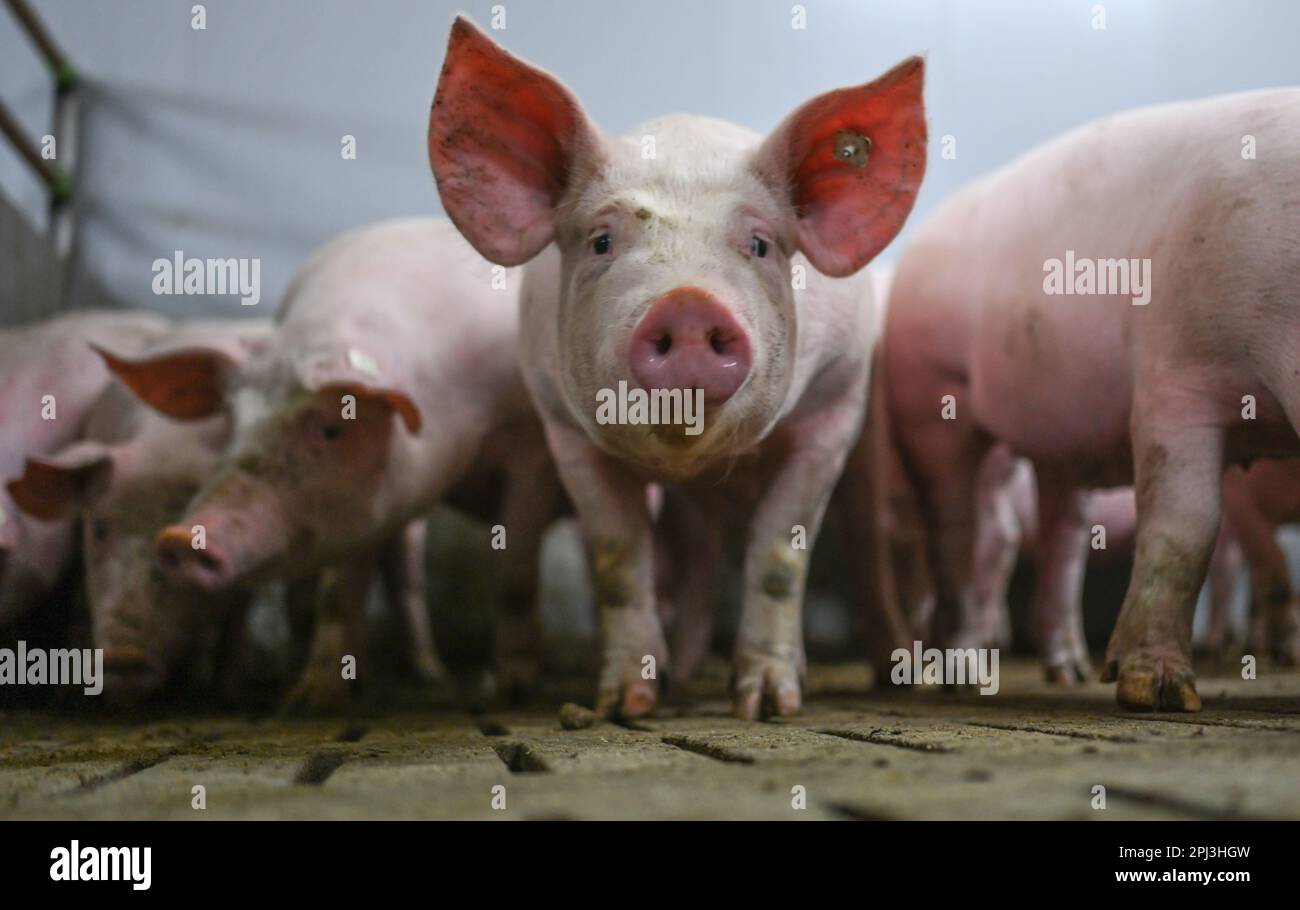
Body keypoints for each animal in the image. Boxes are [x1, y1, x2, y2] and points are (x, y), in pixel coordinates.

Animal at [111, 219, 562, 712]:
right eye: (232, 420)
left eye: (332, 429)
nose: (180, 539)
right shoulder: (366, 508)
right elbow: (337, 592)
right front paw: (309, 701)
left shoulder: (531, 448)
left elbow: (516, 573)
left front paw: (511, 692)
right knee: (403, 578)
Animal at [427, 17, 926, 718]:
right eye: (602, 241)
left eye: (760, 244)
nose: (688, 302)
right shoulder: (562, 428)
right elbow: (617, 556)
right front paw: (624, 705)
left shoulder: (835, 405)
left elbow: (780, 554)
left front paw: (767, 706)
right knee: (695, 554)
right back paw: (681, 676)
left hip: (870, 426)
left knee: (865, 539)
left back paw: (895, 672)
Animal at [884, 87, 1300, 710]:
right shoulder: (1173, 376)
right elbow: (1185, 528)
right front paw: (1157, 694)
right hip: (932, 396)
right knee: (960, 533)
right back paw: (961, 680)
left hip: (1057, 440)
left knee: (1061, 538)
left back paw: (1069, 673)